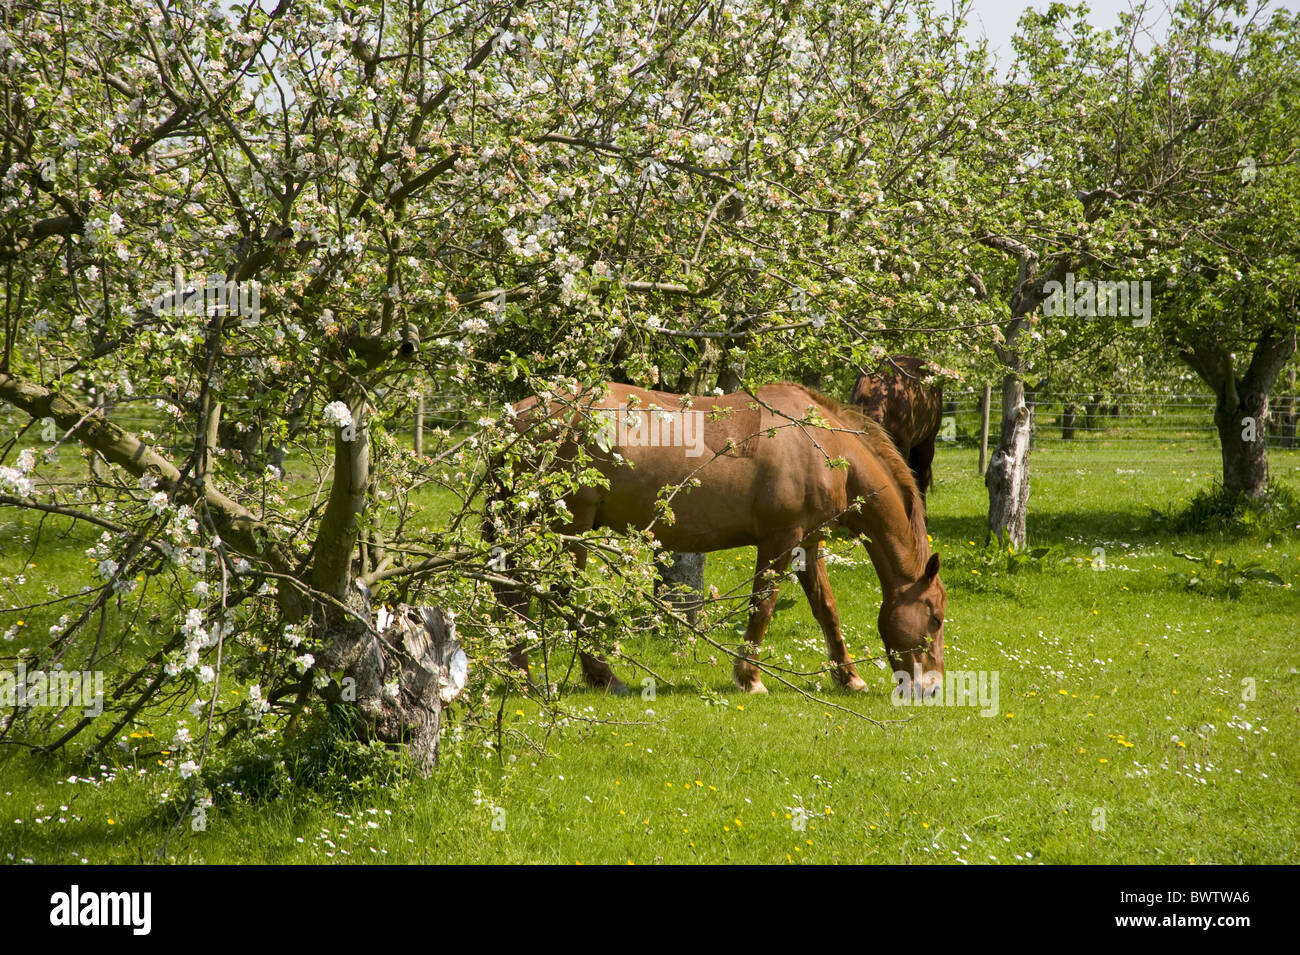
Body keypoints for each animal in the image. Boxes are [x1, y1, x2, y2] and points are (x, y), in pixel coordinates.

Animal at [486, 381, 946, 697]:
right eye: (936, 618)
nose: (933, 687)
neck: (824, 445)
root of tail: (521, 415)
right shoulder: (780, 540)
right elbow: (762, 607)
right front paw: (750, 678)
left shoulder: (807, 544)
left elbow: (827, 611)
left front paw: (849, 677)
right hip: (570, 527)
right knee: (560, 596)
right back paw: (597, 677)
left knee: (514, 595)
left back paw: (526, 677)